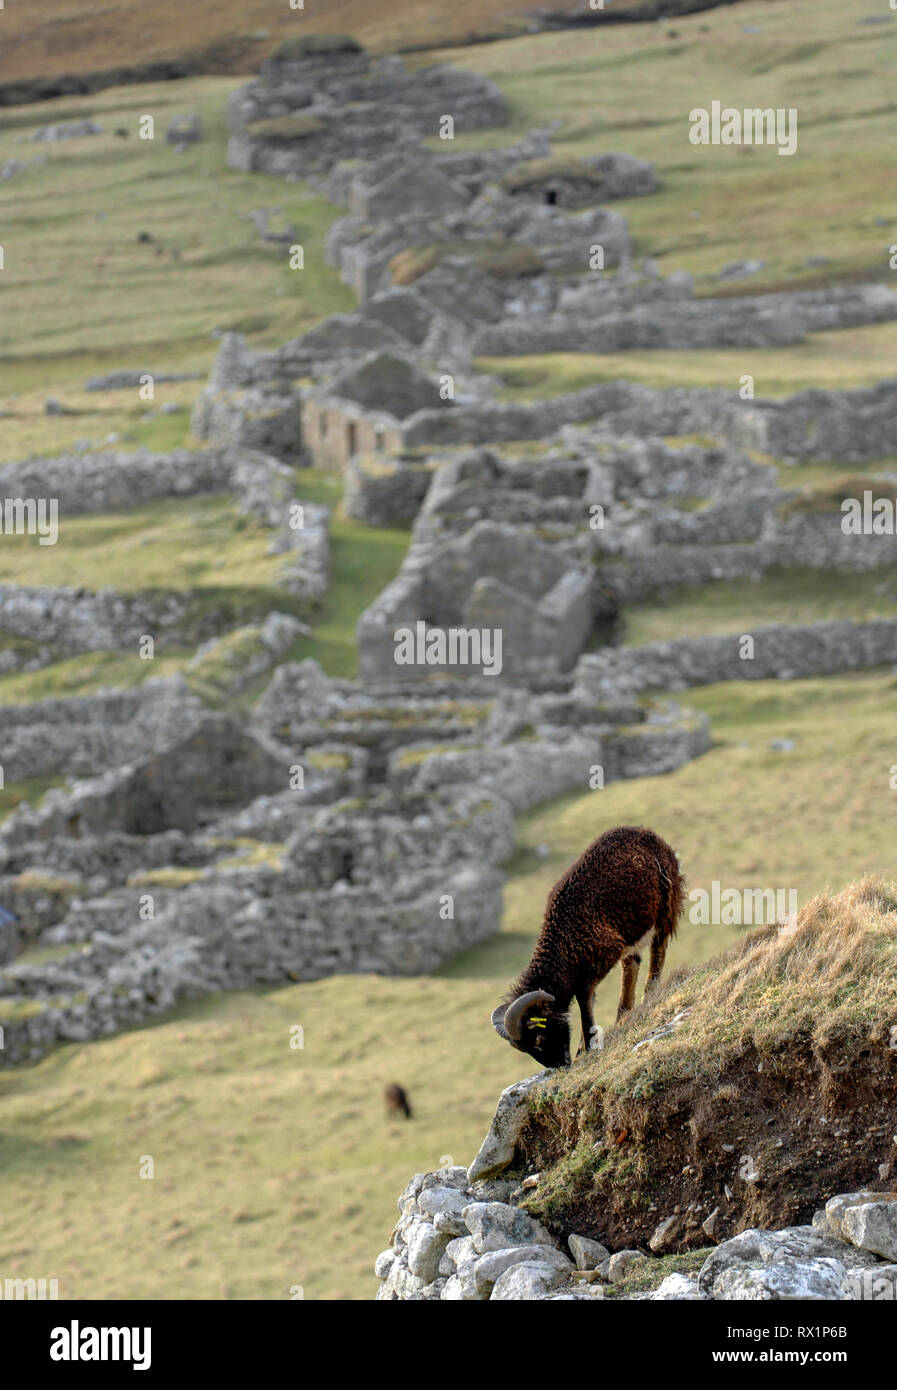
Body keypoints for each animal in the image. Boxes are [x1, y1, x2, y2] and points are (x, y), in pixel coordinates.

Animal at [491, 825, 684, 1069]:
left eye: (538, 1038)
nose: (562, 1065)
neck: (562, 945)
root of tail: (646, 832)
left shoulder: (599, 957)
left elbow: (584, 999)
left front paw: (589, 1045)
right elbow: (589, 1000)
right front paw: (583, 1047)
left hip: (665, 904)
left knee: (657, 949)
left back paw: (648, 995)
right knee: (631, 964)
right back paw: (623, 1014)